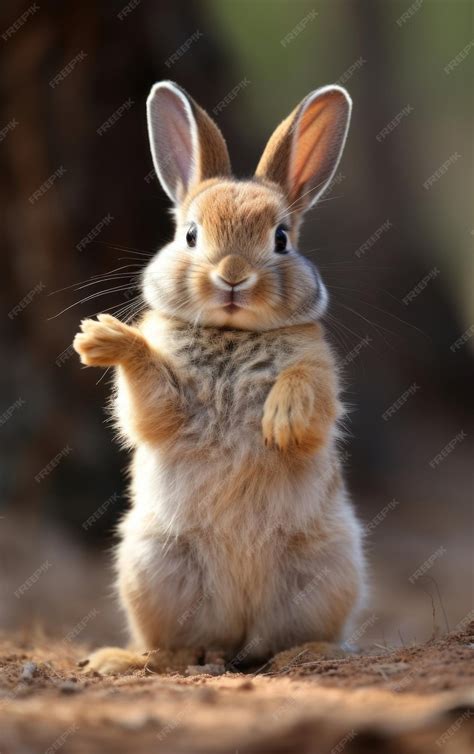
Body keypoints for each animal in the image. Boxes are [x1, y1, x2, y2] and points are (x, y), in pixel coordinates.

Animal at [73, 81, 366, 675]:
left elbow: (307, 393)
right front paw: (100, 339)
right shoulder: (165, 397)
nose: (233, 276)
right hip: (154, 564)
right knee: (181, 644)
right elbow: (148, 398)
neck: (231, 334)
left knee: (289, 639)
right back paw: (139, 658)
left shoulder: (319, 367)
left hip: (327, 566)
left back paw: (311, 652)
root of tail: (241, 636)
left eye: (281, 238)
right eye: (190, 234)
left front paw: (281, 422)